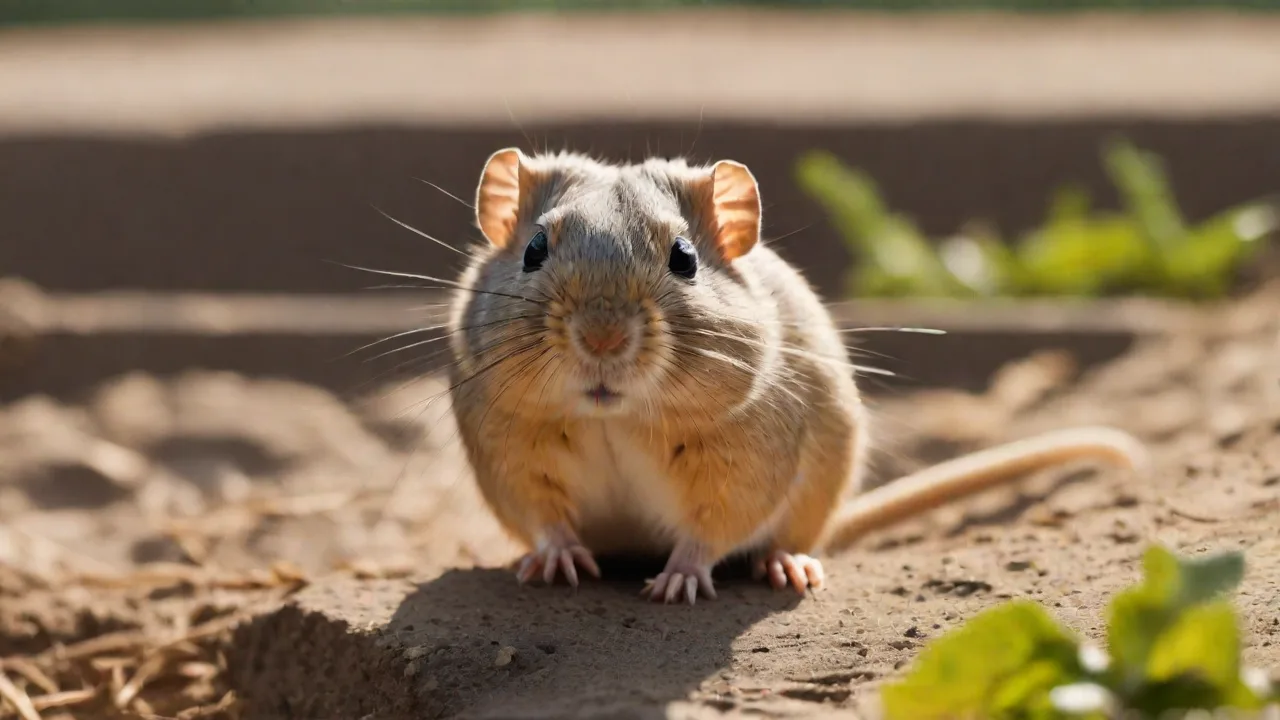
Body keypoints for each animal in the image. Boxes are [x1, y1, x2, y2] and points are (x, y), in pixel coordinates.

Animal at [445, 148, 1148, 605]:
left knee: (792, 538)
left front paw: (676, 582)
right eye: (535, 249)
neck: (613, 416)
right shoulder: (514, 458)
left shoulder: (740, 468)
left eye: (684, 258)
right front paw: (554, 560)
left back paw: (788, 566)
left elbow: (709, 532)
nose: (602, 340)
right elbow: (544, 516)